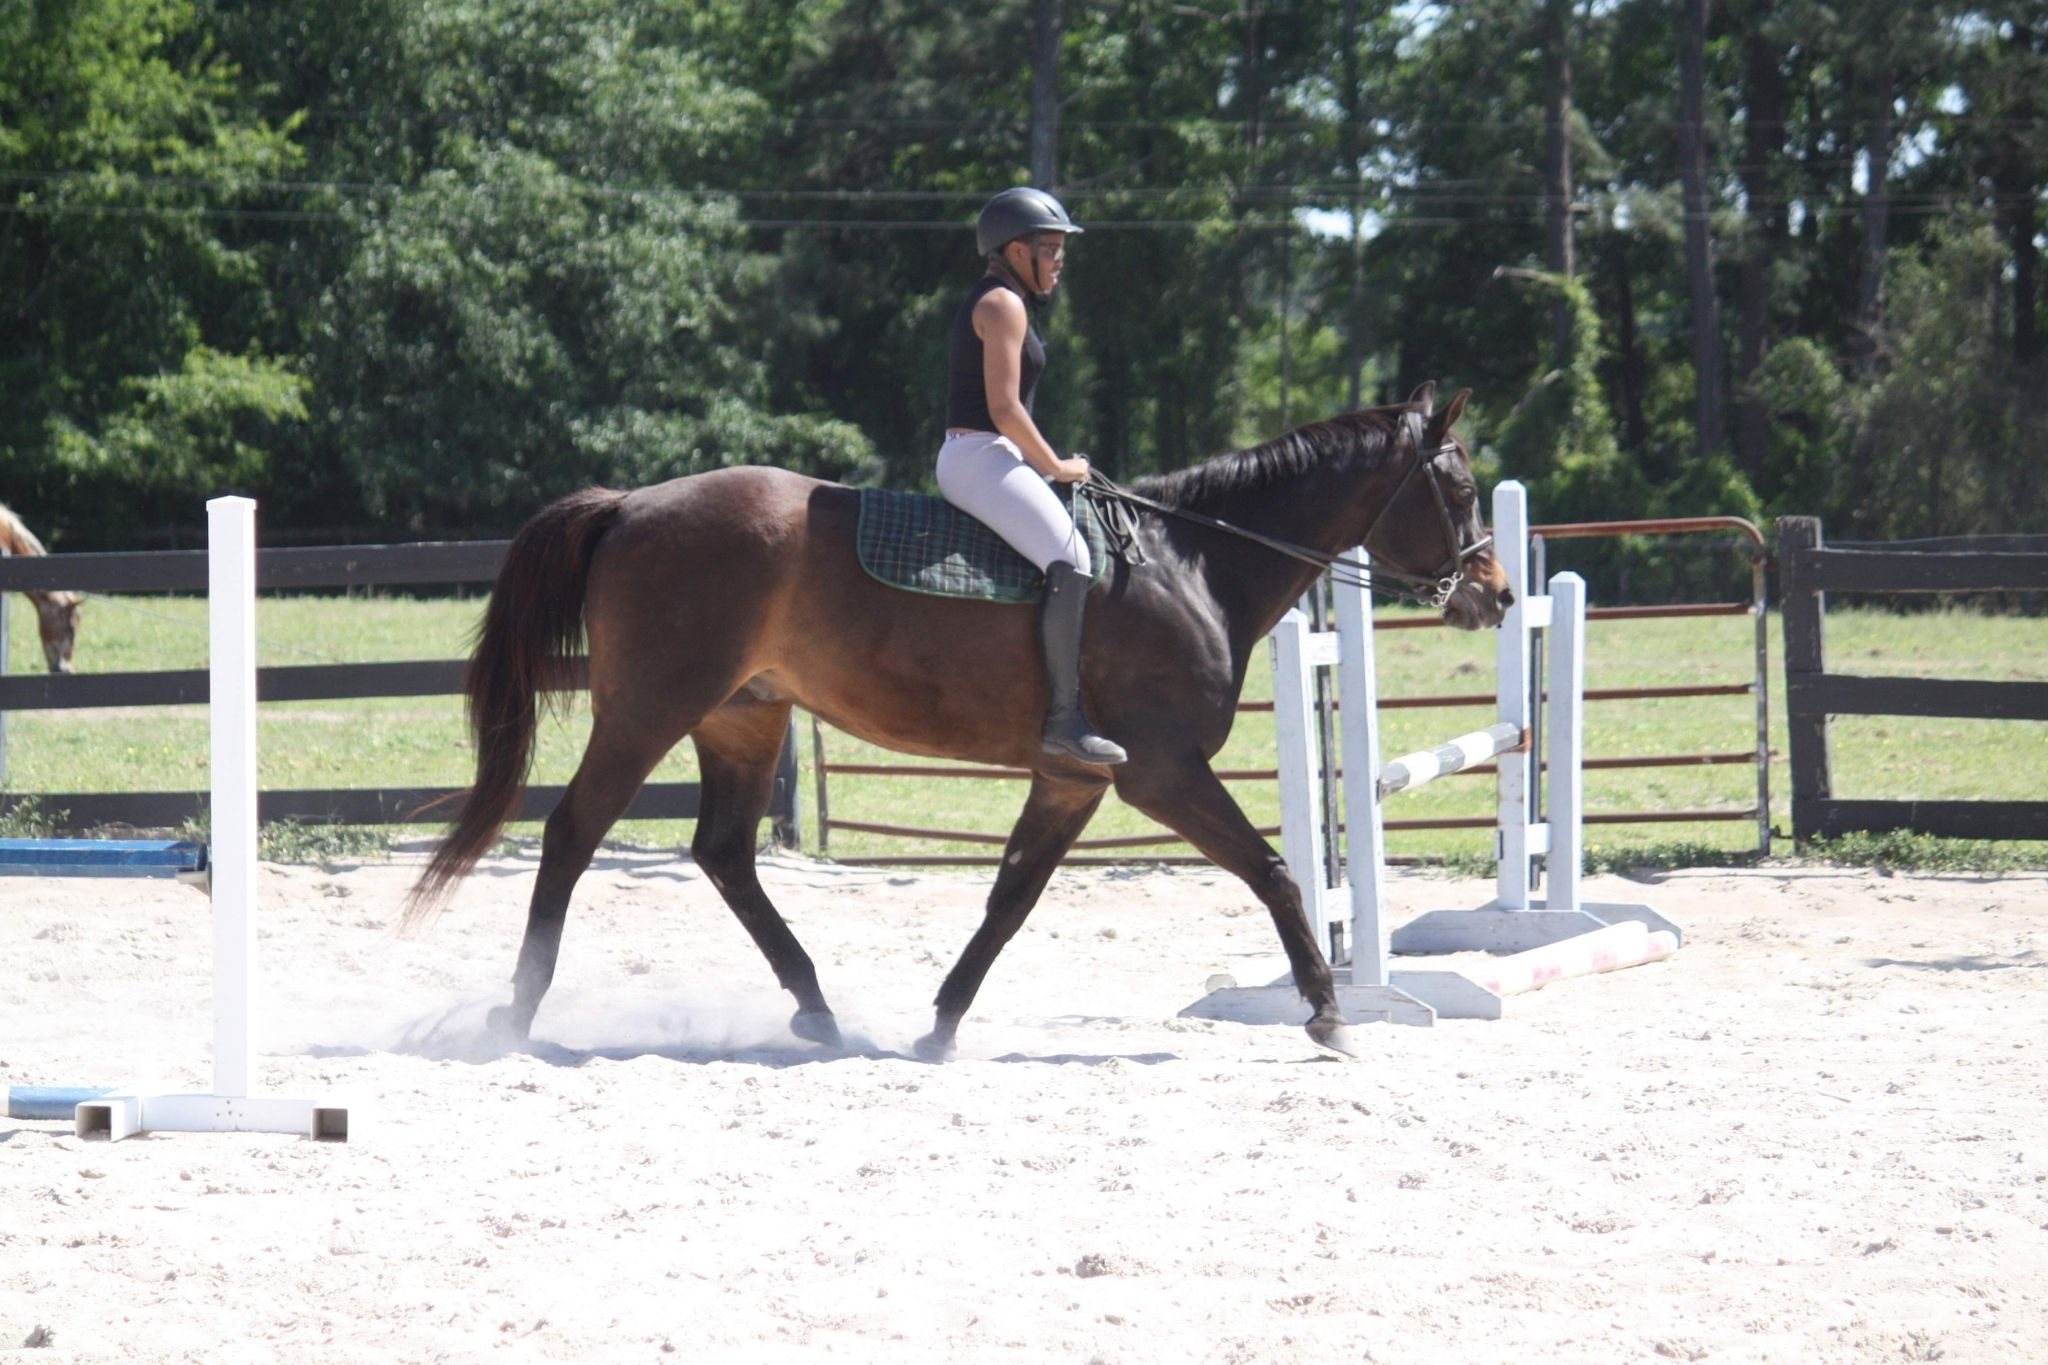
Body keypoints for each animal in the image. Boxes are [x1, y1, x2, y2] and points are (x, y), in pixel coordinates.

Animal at [404, 384, 1511, 1059]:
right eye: (1456, 483)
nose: (1495, 594)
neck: (1193, 564)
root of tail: (632, 503)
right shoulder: (1160, 772)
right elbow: (1273, 872)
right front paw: (1327, 1012)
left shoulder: (1073, 777)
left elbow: (1008, 901)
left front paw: (938, 1025)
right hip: (649, 709)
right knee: (572, 834)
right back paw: (516, 1012)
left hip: (740, 719)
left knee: (722, 854)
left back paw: (815, 1009)